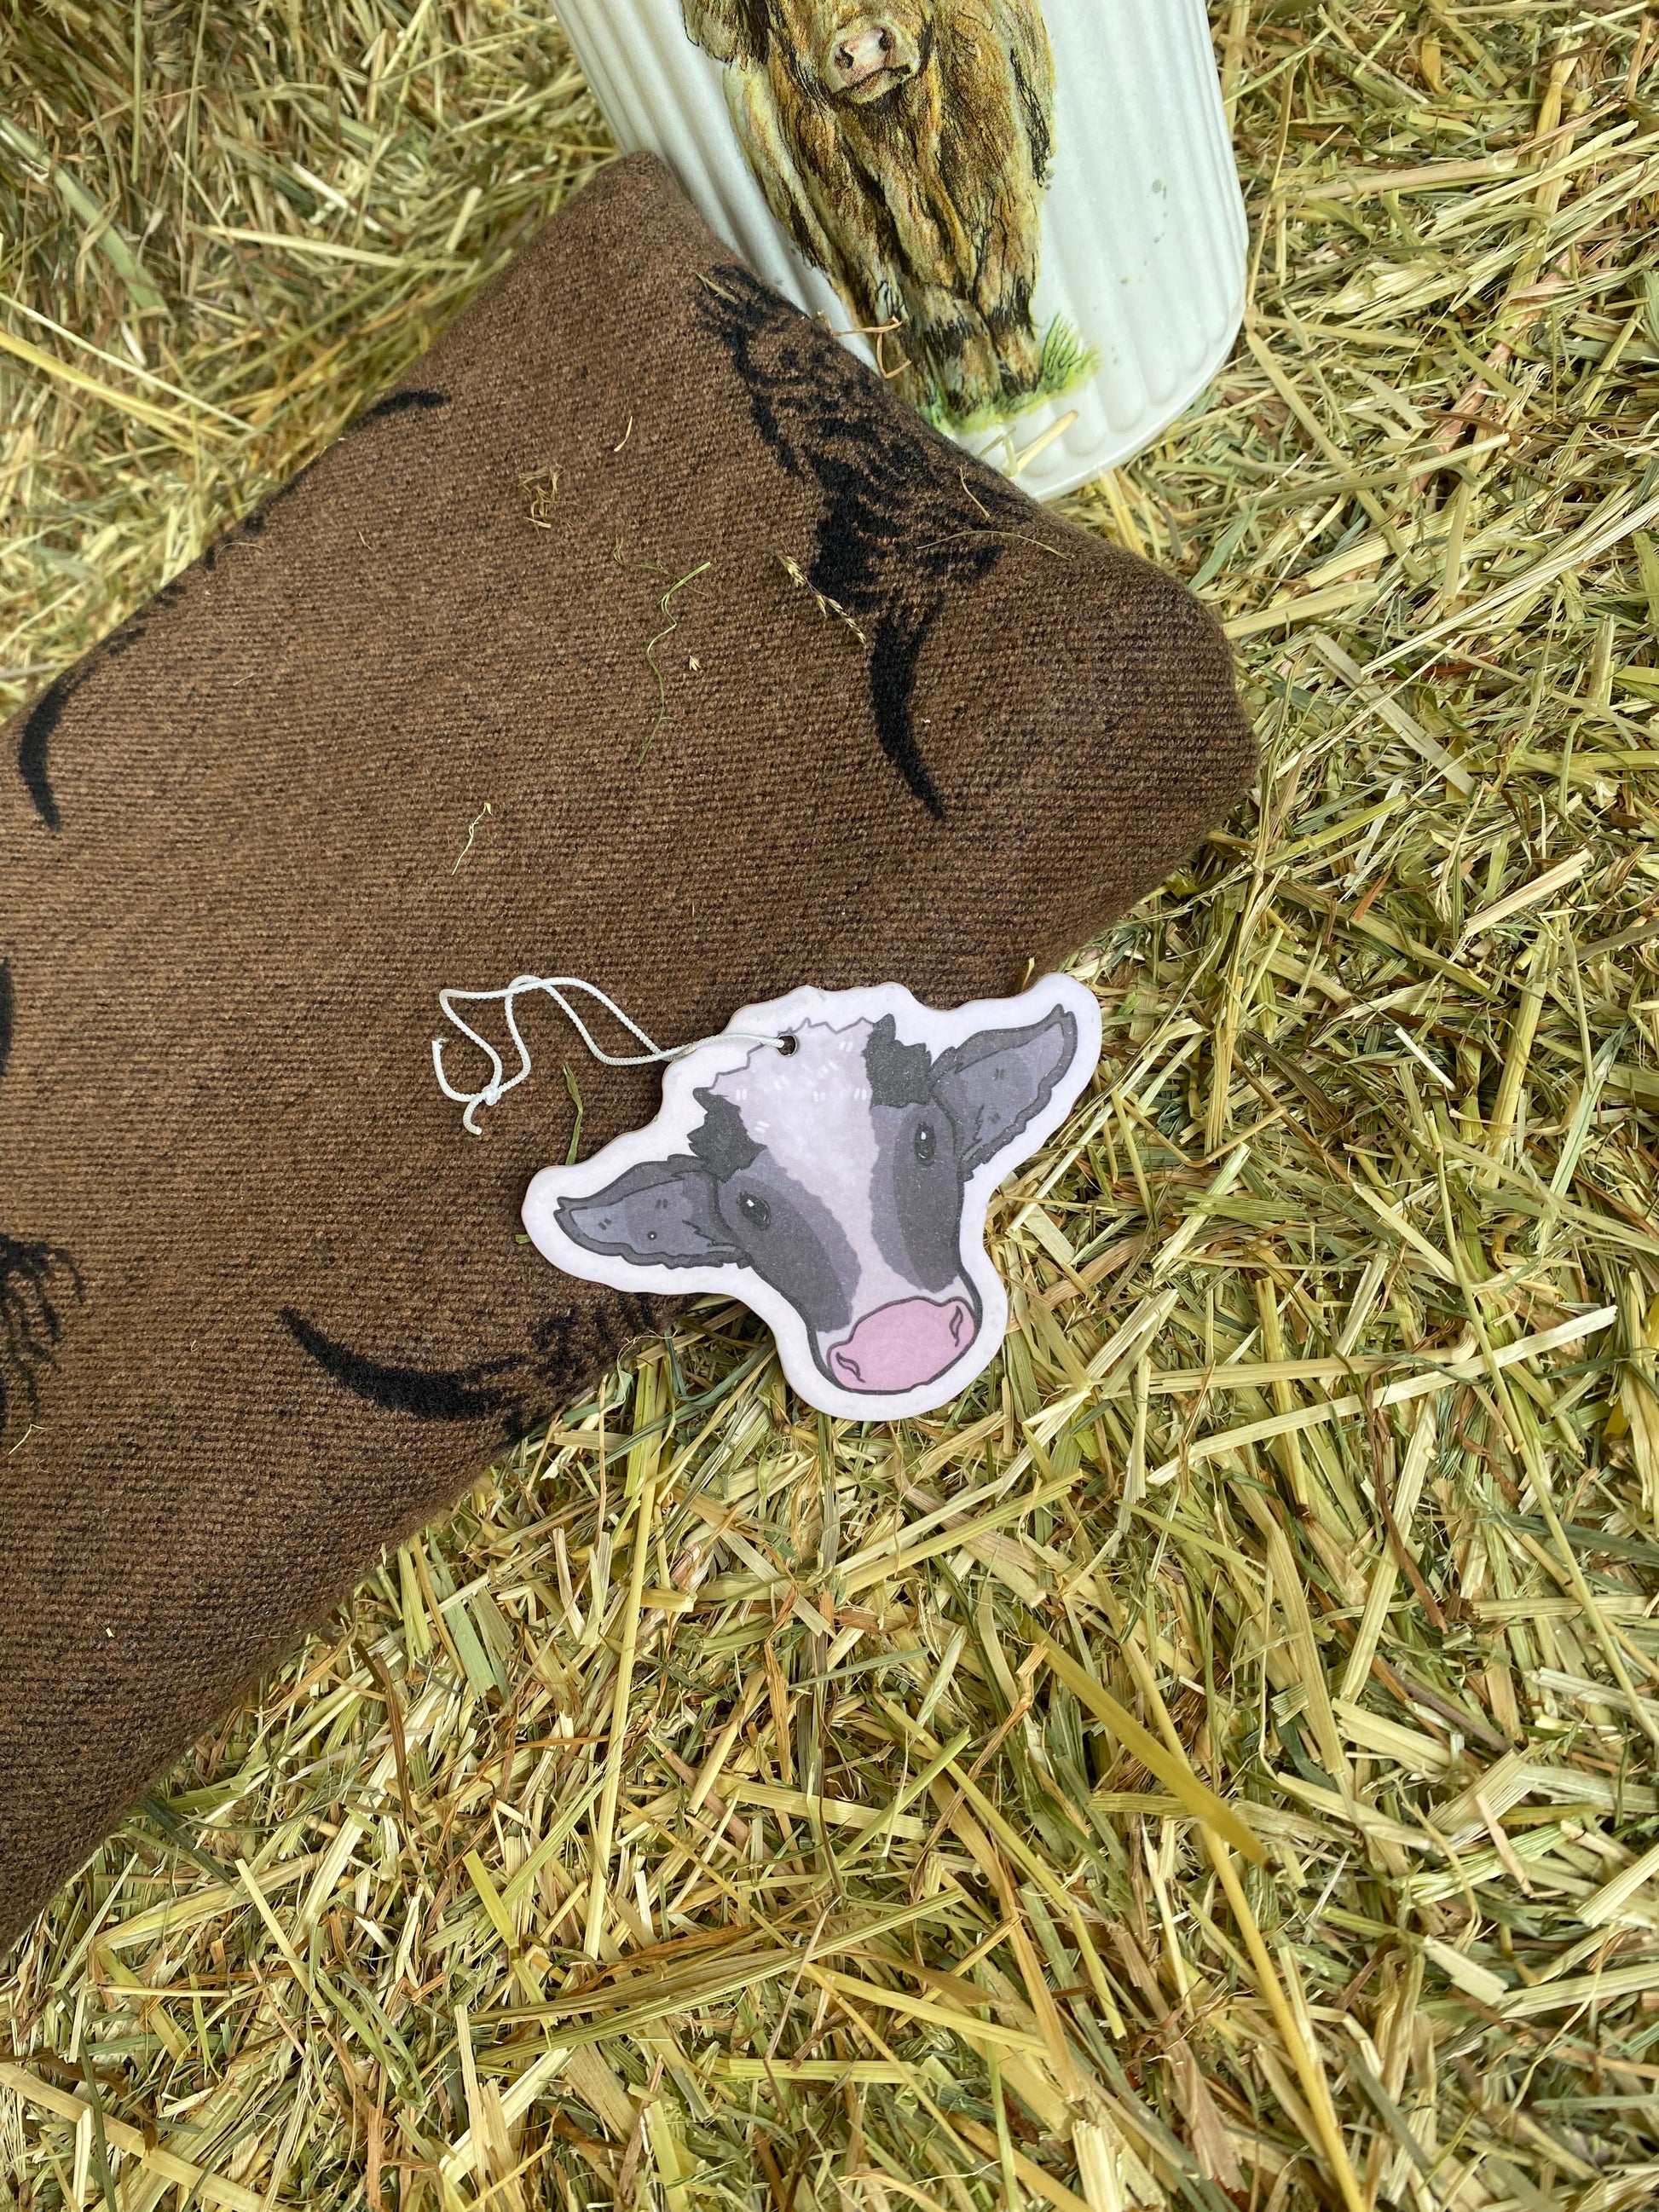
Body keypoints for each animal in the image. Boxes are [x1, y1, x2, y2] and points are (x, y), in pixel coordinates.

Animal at [682, 0, 1057, 421]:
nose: (862, 49)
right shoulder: (865, 245)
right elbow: (944, 322)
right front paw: (974, 397)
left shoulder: (1004, 199)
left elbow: (1000, 295)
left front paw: (1024, 380)